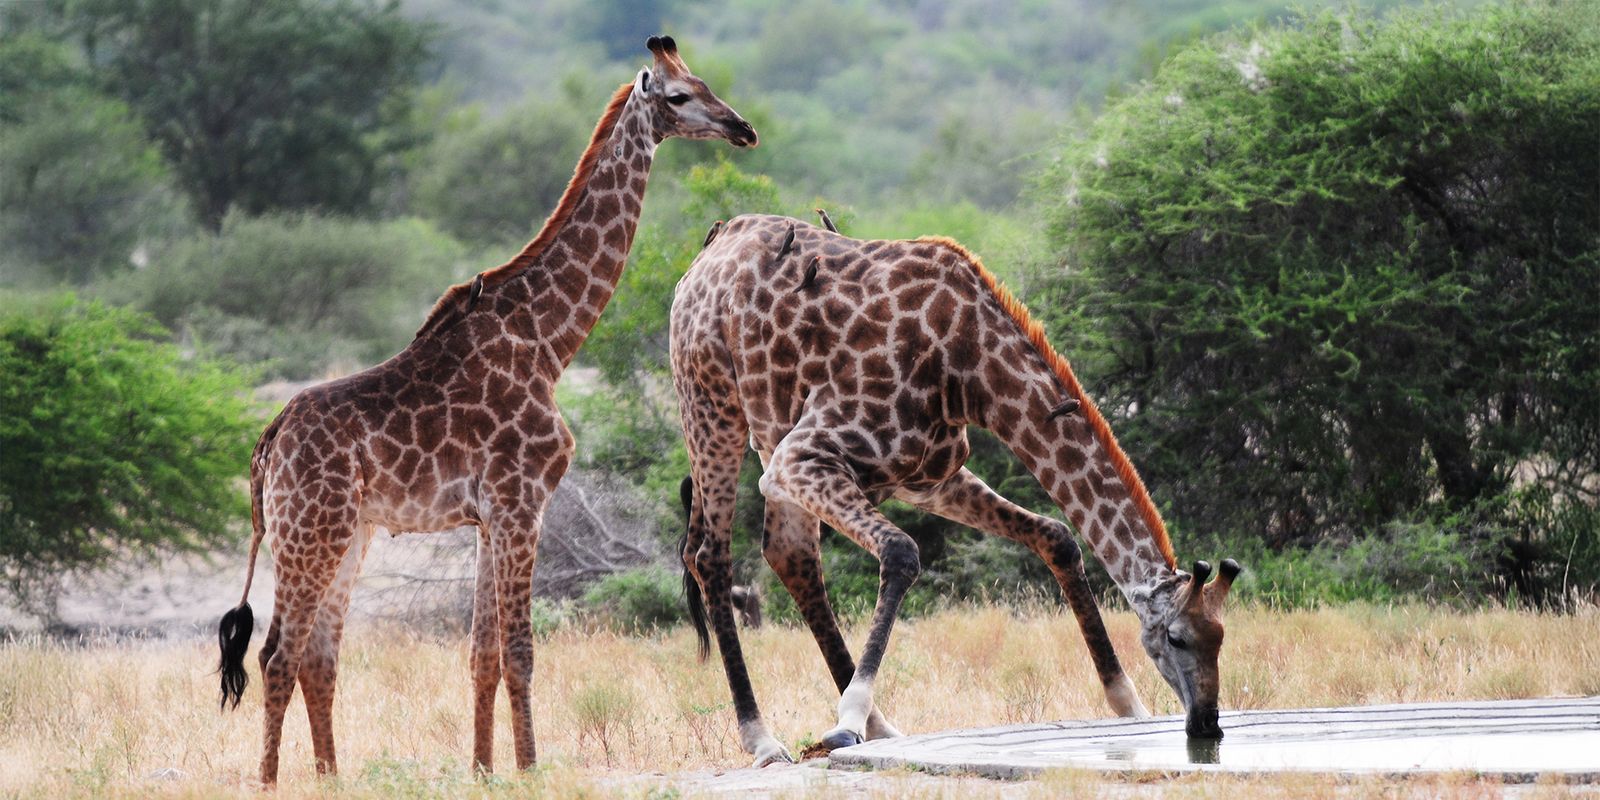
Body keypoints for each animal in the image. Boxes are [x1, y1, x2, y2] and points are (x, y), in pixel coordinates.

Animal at [213, 36, 755, 784]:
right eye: (679, 96)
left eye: (705, 83)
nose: (742, 128)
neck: (549, 341)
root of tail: (266, 447)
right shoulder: (522, 500)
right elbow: (521, 650)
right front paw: (529, 768)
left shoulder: (487, 516)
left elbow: (482, 653)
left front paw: (482, 769)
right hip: (308, 535)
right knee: (275, 655)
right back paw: (271, 782)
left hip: (349, 536)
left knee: (319, 658)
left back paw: (330, 778)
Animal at [670, 214, 1240, 765]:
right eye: (1177, 638)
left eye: (1221, 638)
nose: (1207, 723)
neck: (967, 365)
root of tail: (710, 248)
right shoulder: (802, 455)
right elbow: (902, 552)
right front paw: (848, 717)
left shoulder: (926, 477)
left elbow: (1057, 536)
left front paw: (1130, 707)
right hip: (713, 404)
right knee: (709, 555)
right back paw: (765, 739)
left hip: (772, 428)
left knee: (790, 554)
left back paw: (880, 729)